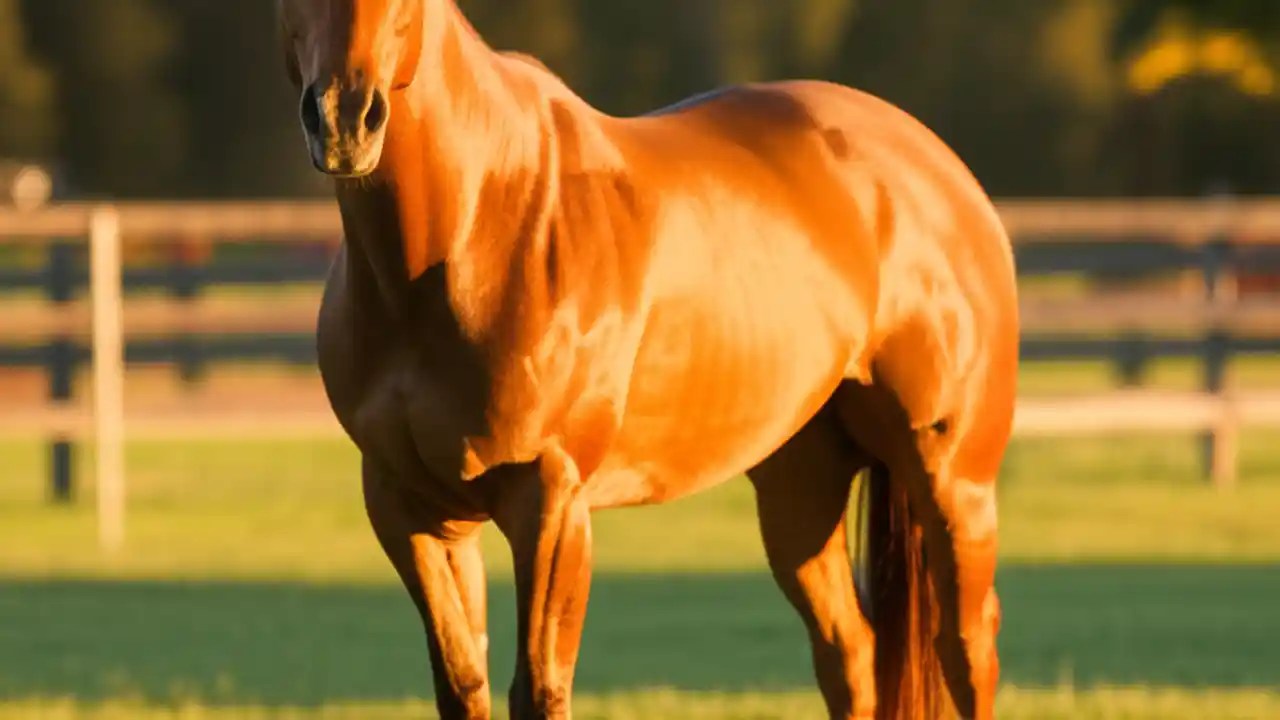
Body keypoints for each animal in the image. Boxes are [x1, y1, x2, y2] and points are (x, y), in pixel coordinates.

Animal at [276, 1, 1018, 718]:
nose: (345, 119)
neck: (472, 230)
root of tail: (940, 169)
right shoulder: (413, 510)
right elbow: (463, 685)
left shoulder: (551, 503)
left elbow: (539, 690)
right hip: (800, 490)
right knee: (850, 656)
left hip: (951, 480)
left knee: (965, 649)